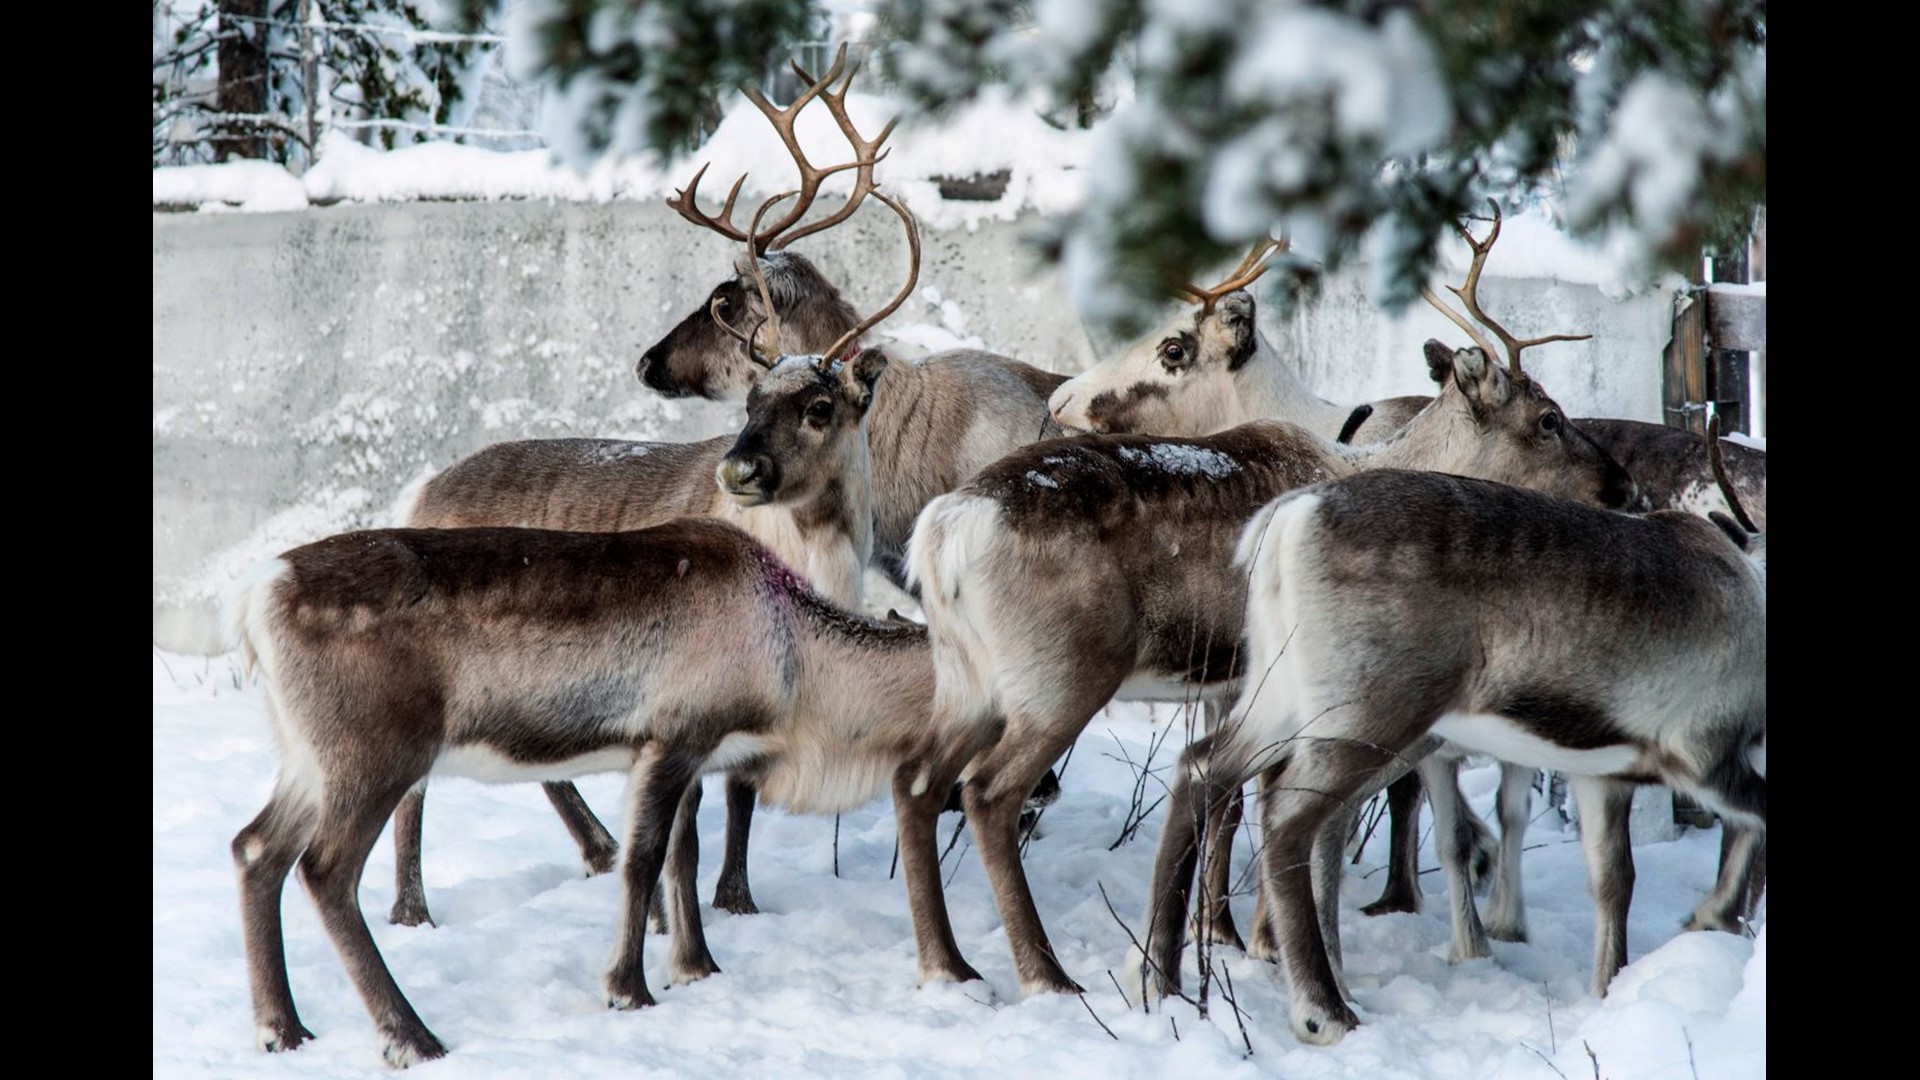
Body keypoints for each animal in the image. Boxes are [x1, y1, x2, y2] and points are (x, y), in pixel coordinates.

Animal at [382, 186, 922, 930]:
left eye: (820, 405)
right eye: (750, 401)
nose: (739, 470)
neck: (817, 557)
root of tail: (422, 491)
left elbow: (743, 788)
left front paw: (736, 900)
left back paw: (599, 850)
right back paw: (413, 910)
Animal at [900, 330, 1640, 998]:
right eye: (1548, 419)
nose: (1625, 486)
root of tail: (944, 528)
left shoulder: (1231, 685)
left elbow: (1233, 802)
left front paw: (1228, 934)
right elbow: (1267, 803)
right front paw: (1264, 941)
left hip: (967, 680)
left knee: (916, 778)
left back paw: (949, 964)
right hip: (1059, 679)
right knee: (987, 793)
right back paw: (1044, 974)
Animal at [1136, 432, 1764, 1047]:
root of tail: (1290, 517)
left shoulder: (1603, 773)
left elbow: (1616, 880)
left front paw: (1610, 988)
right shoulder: (1702, 753)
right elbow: (1754, 820)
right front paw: (1710, 917)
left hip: (1282, 695)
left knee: (1203, 768)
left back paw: (1160, 975)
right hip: (1370, 711)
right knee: (1290, 815)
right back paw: (1323, 1010)